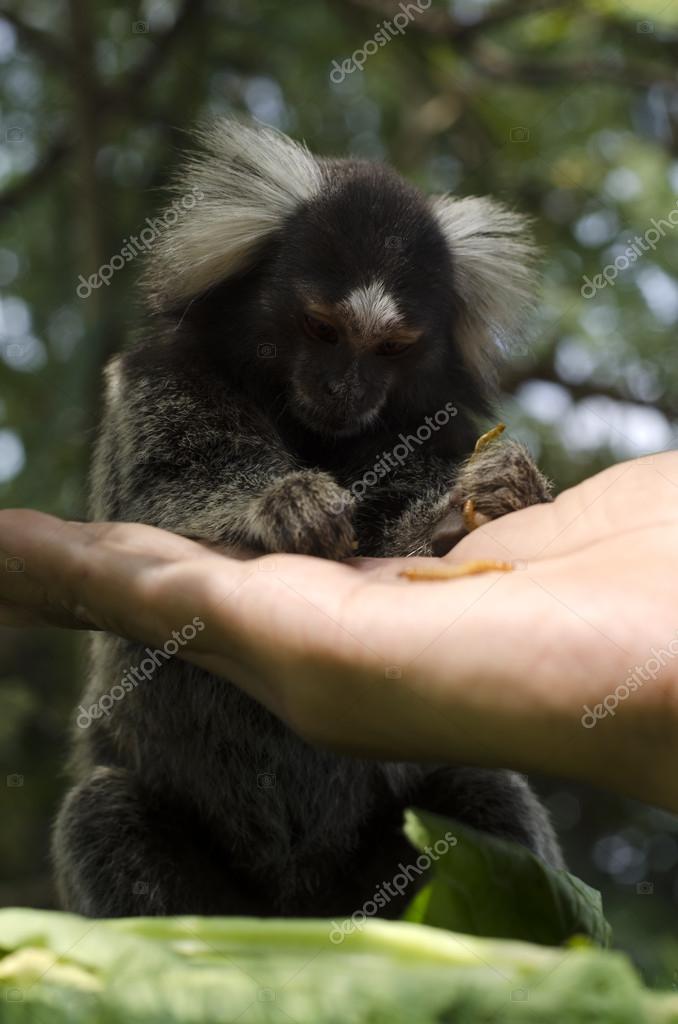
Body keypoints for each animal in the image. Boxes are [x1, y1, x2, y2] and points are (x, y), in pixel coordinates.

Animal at [52, 120, 563, 919]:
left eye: (391, 347)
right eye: (322, 329)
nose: (346, 388)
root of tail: (304, 907)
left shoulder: (430, 425)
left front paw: (476, 504)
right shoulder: (157, 379)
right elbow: (162, 490)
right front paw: (284, 506)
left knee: (483, 796)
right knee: (101, 812)